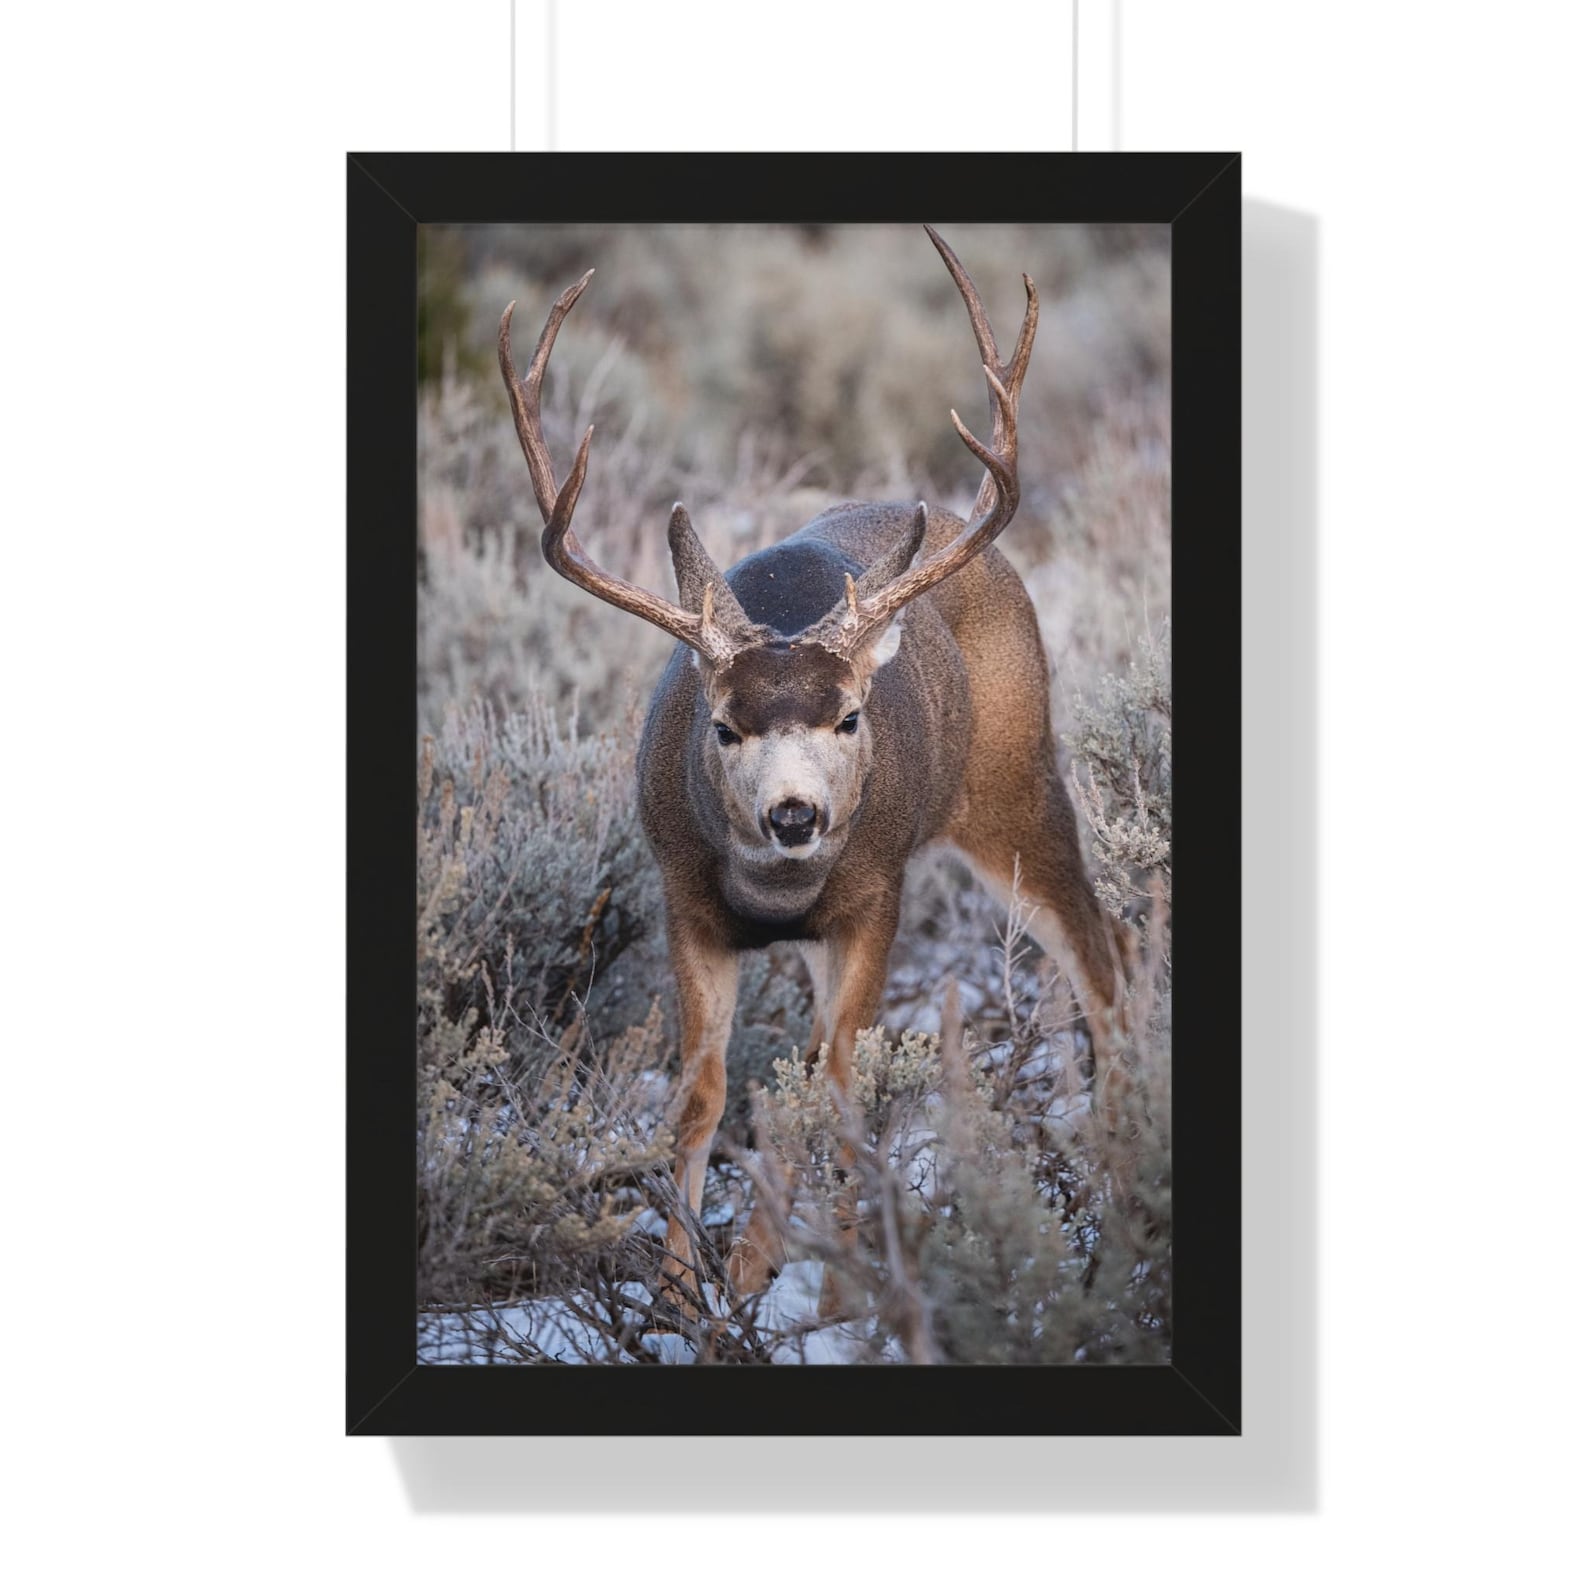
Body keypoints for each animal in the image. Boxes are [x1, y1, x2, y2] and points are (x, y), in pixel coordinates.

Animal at [499, 226, 1125, 1318]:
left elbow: (837, 1079)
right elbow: (701, 1095)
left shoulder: (874, 894)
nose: (794, 815)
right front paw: (682, 1292)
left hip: (1015, 784)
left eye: (848, 716)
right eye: (719, 726)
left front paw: (809, 1288)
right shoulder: (684, 899)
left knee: (1101, 956)